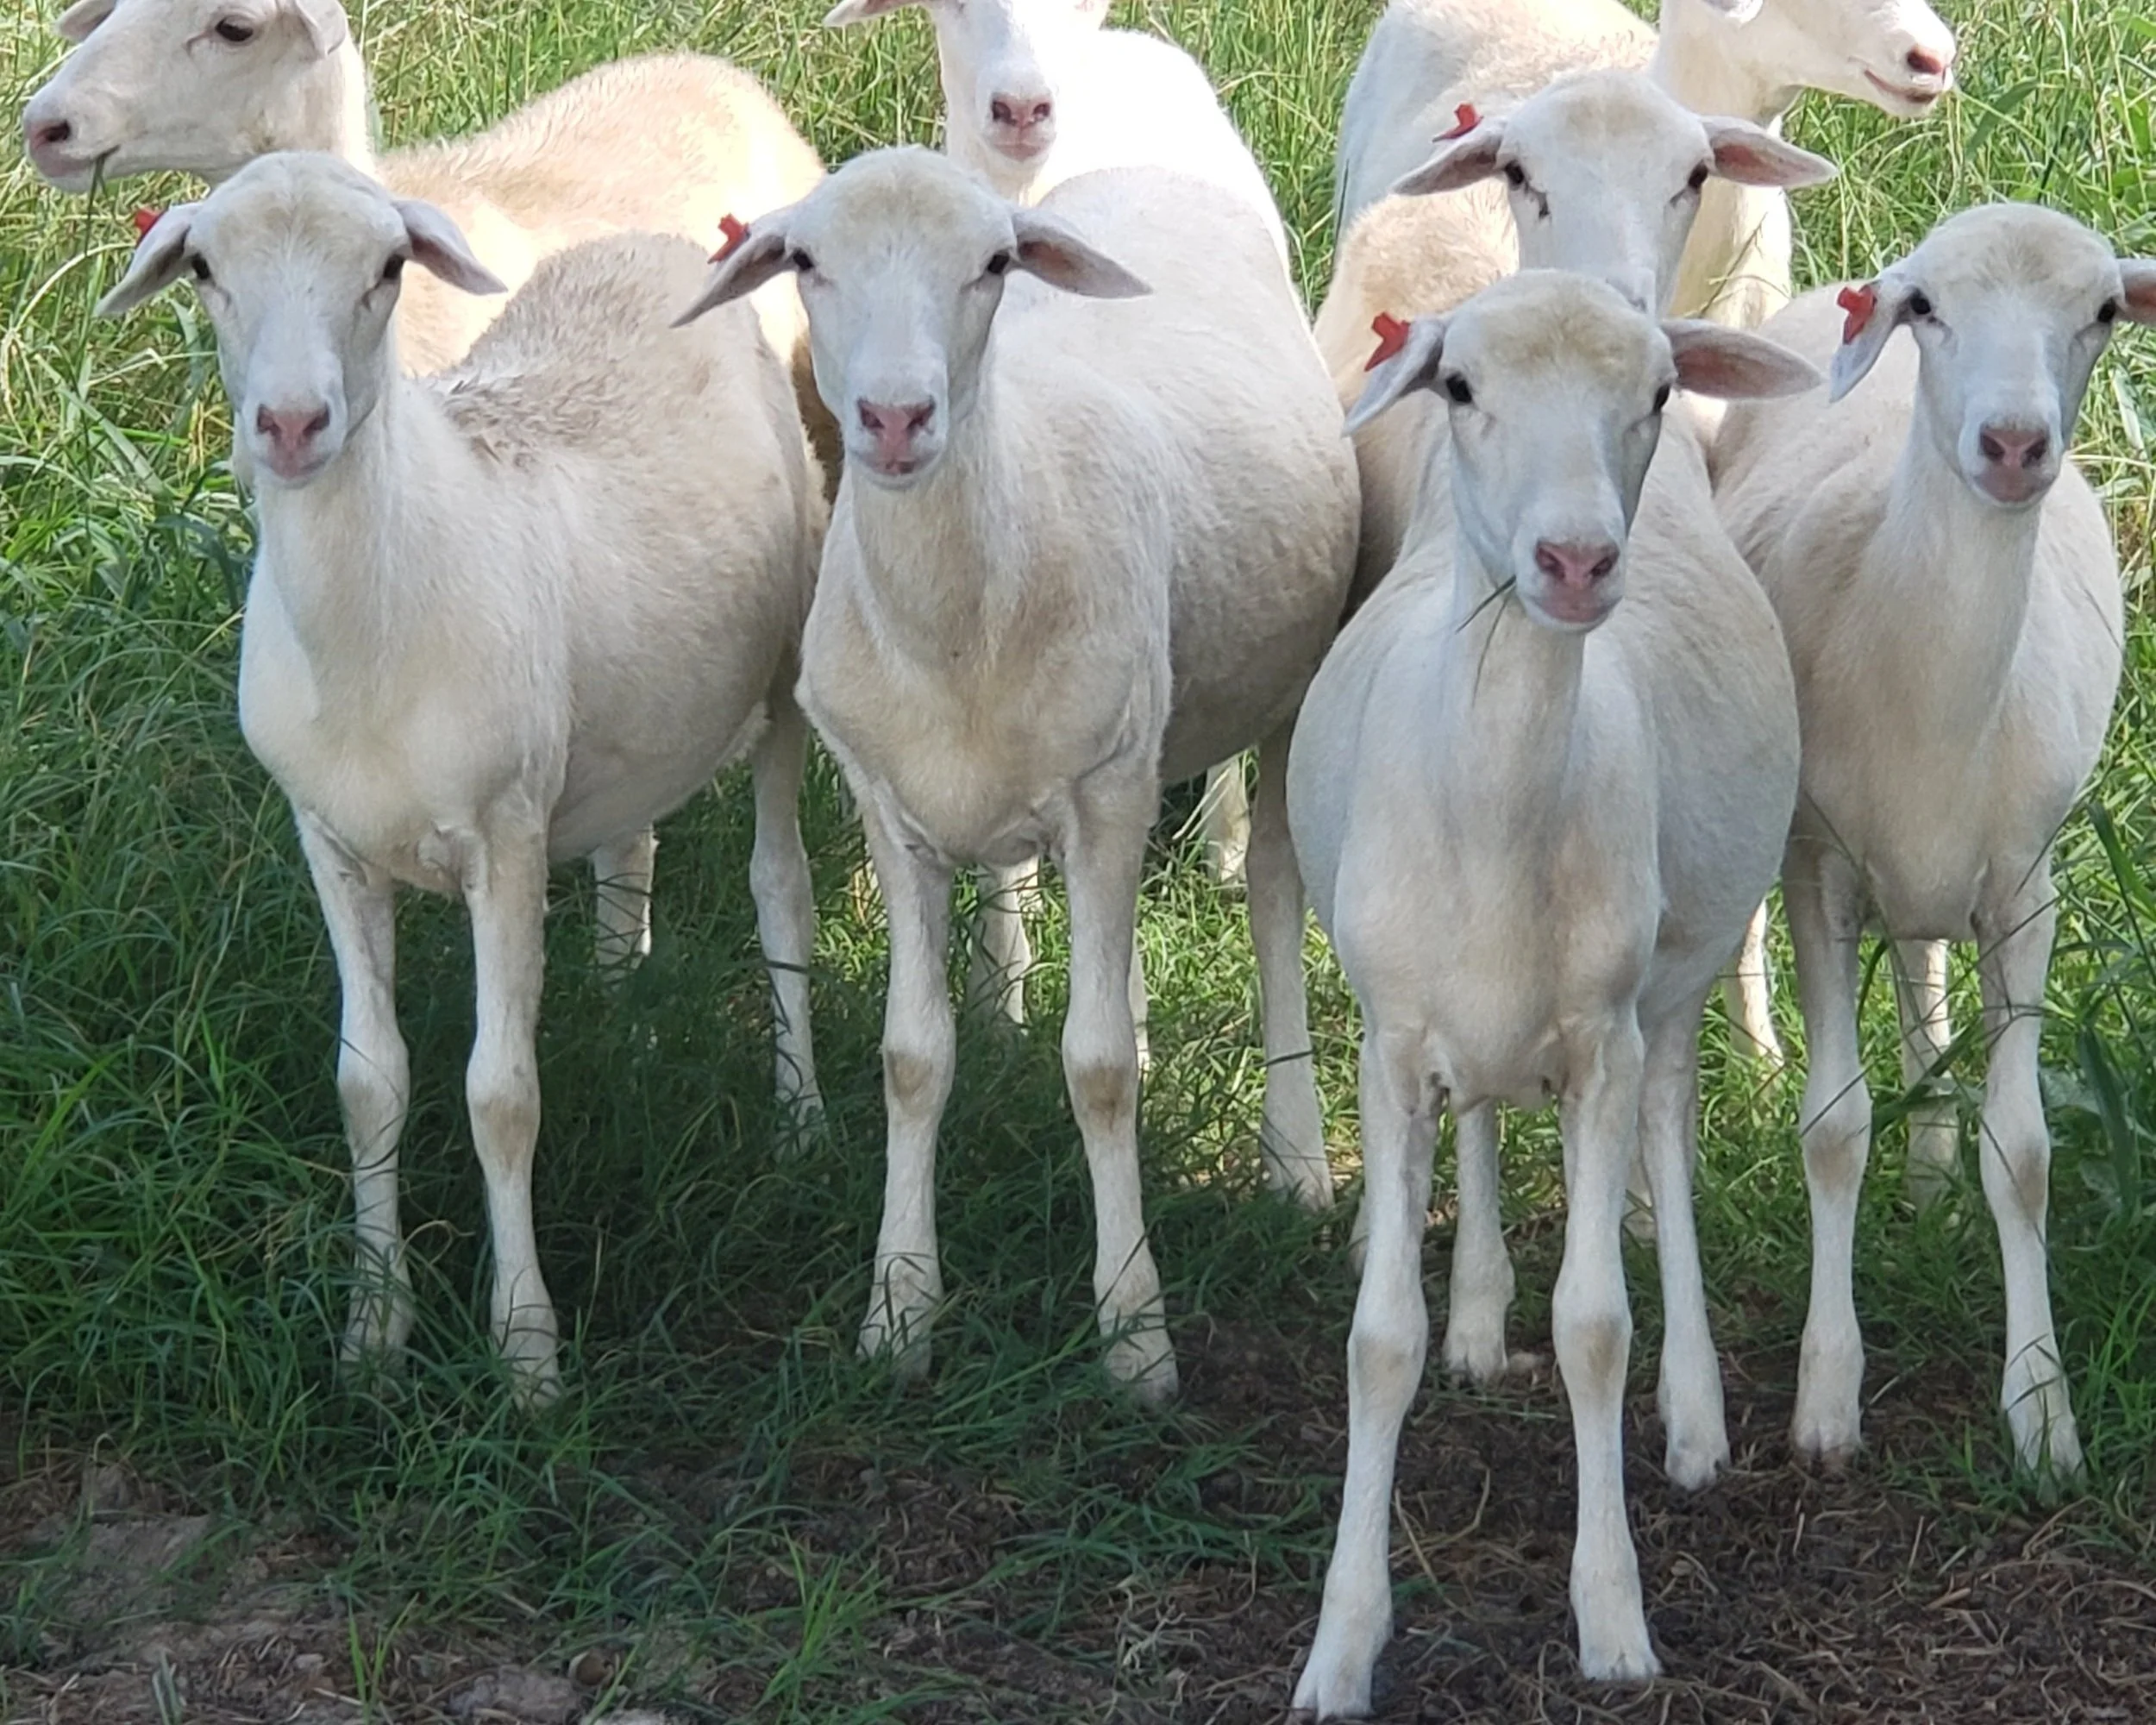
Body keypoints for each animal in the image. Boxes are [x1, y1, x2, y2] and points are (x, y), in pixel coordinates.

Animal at [96, 151, 827, 1408]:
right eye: (203, 268)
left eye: (388, 266)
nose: (292, 423)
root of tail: (658, 245)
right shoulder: (329, 838)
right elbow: (369, 1084)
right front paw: (371, 1332)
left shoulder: (506, 833)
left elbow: (501, 1094)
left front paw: (527, 1353)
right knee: (631, 848)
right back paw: (624, 1021)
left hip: (783, 666)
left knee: (780, 886)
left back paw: (800, 1124)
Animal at [677, 147, 1358, 1400]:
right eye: (805, 259)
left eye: (993, 264)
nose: (895, 417)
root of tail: (1148, 164)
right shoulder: (895, 810)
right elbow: (910, 1058)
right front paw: (899, 1310)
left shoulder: (1106, 791)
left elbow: (1095, 1072)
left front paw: (1134, 1334)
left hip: (1285, 692)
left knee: (1277, 900)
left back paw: (1294, 1155)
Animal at [1286, 270, 1814, 1708]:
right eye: (1462, 386)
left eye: (1655, 391)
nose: (1576, 562)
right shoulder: (1389, 1040)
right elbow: (1377, 1341)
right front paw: (1342, 1643)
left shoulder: (1603, 1035)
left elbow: (1593, 1325)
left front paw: (1614, 1619)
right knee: (1476, 1120)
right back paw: (1478, 1311)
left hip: (1678, 977)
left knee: (1671, 1133)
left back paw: (1694, 1413)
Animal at [1709, 203, 2149, 1478]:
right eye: (1929, 310)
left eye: (2103, 311)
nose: (2011, 444)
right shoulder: (1818, 872)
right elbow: (1832, 1129)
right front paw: (1826, 1399)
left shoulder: (2026, 891)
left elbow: (2027, 1152)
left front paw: (2042, 1409)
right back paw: (1762, 1056)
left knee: (1920, 970)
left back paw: (1933, 1167)